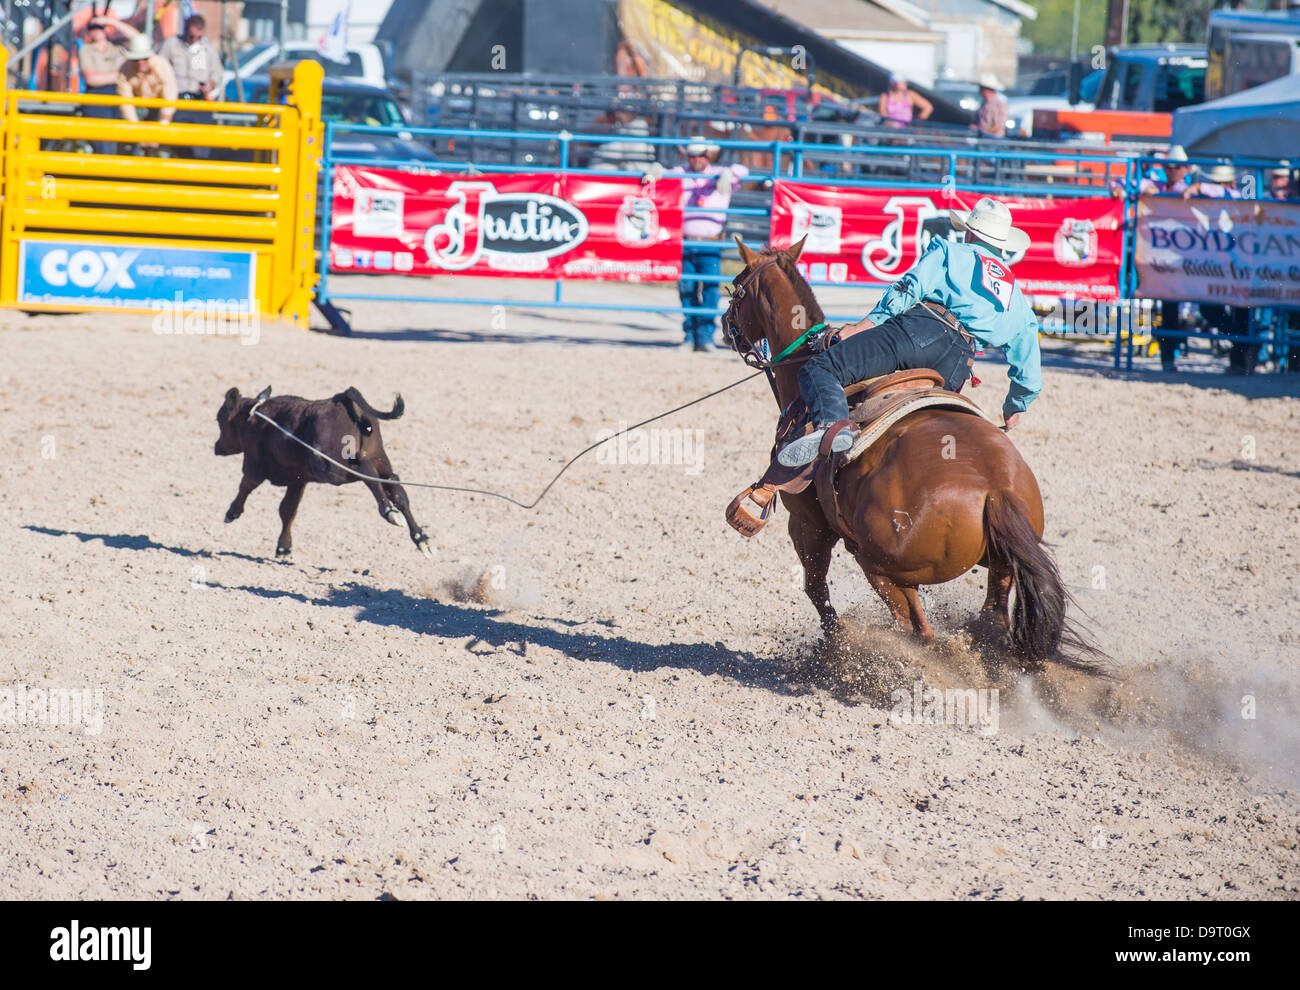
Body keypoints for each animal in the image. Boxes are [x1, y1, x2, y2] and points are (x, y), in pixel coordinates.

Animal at [214, 386, 432, 558]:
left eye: (220, 420)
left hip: (333, 468)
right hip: (379, 459)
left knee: (367, 473)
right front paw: (284, 547)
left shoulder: (253, 464)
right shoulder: (298, 481)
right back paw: (421, 538)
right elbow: (288, 510)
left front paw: (231, 513)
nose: (217, 447)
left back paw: (390, 512)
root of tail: (342, 398)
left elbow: (246, 487)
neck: (253, 416)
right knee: (395, 487)